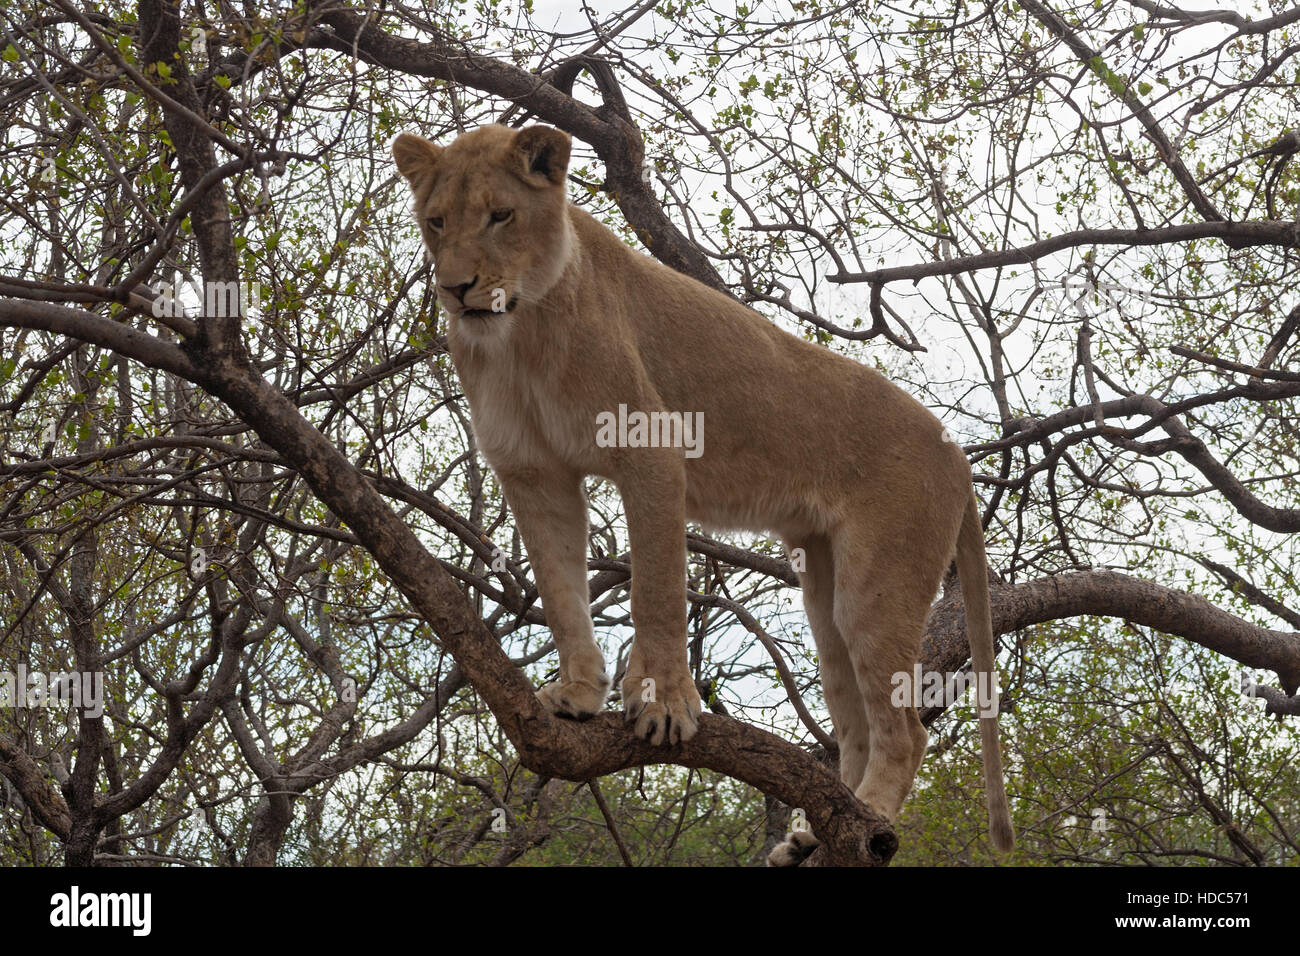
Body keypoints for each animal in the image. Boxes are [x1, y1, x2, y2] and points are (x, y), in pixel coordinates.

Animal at [392, 123, 1015, 860]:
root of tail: (955, 449)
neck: (519, 334)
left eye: (500, 215)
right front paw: (579, 693)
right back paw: (817, 832)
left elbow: (657, 587)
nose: (456, 288)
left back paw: (868, 822)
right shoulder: (533, 473)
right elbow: (561, 589)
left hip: (880, 581)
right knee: (857, 721)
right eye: (436, 222)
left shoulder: (651, 447)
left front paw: (662, 705)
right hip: (825, 590)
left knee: (905, 729)